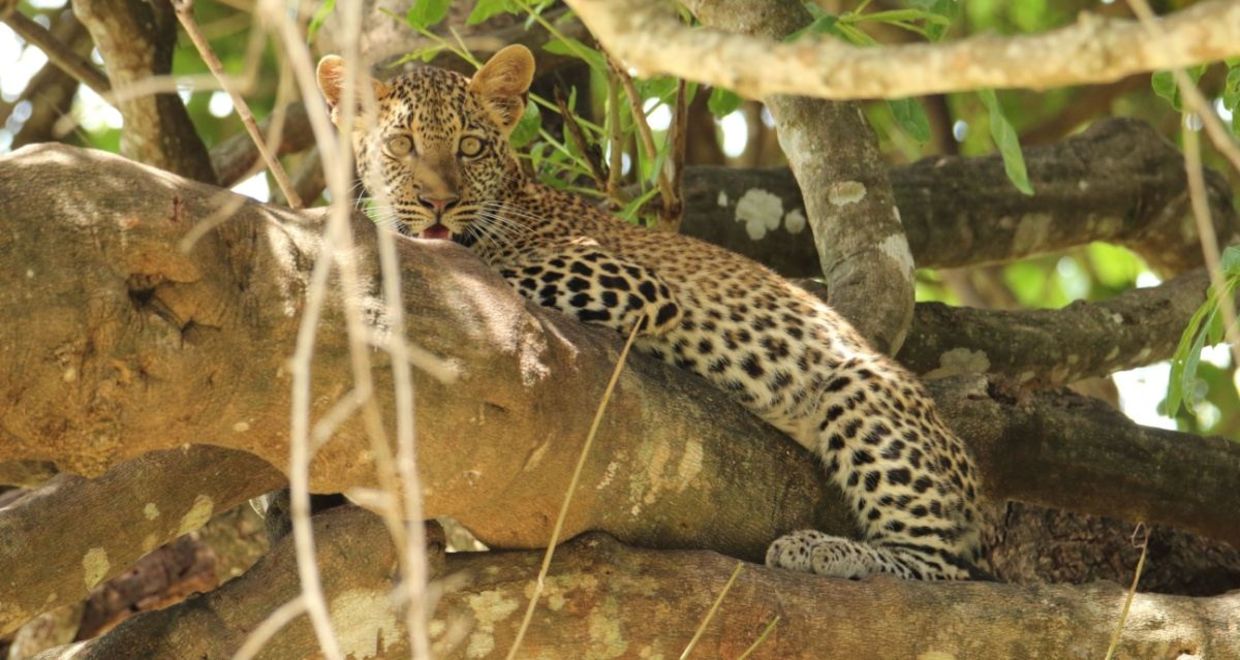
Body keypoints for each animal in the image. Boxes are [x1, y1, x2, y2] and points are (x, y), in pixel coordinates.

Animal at [316, 45, 985, 580]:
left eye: (470, 146)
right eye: (401, 145)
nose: (438, 201)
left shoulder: (625, 280)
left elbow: (491, 267)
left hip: (863, 387)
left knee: (946, 565)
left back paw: (825, 550)